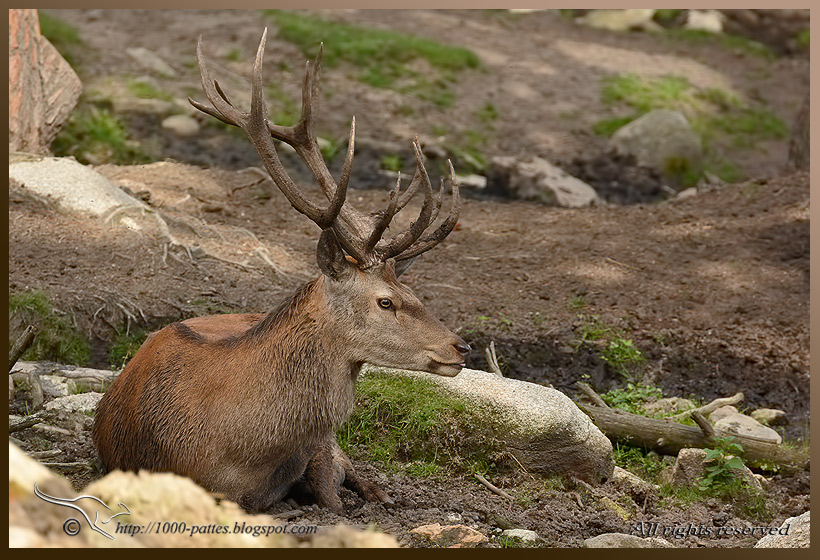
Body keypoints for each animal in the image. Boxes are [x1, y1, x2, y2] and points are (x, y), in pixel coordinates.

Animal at [92, 29, 469, 515]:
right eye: (386, 301)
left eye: (417, 294)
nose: (461, 347)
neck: (236, 453)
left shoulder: (318, 448)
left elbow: (331, 492)